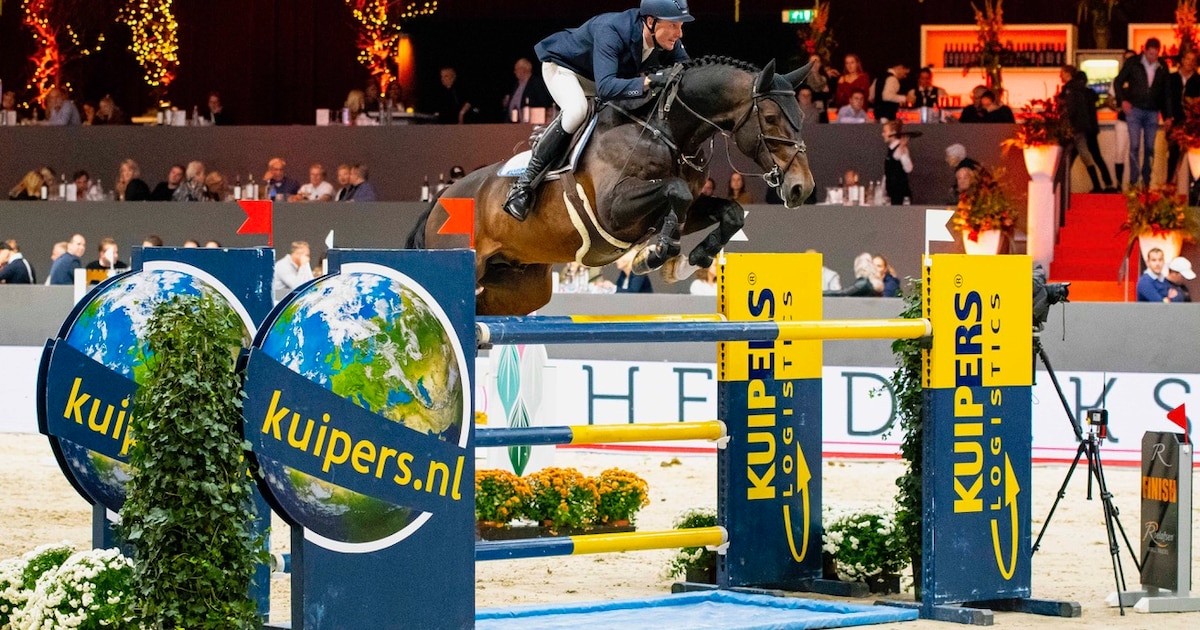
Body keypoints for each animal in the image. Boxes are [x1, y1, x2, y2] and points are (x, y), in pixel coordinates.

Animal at [406, 56, 815, 316]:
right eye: (771, 117)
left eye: (801, 115)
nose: (802, 189)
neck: (665, 131)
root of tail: (439, 201)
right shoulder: (613, 210)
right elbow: (676, 192)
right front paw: (657, 254)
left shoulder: (675, 208)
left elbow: (728, 210)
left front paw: (691, 259)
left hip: (522, 286)